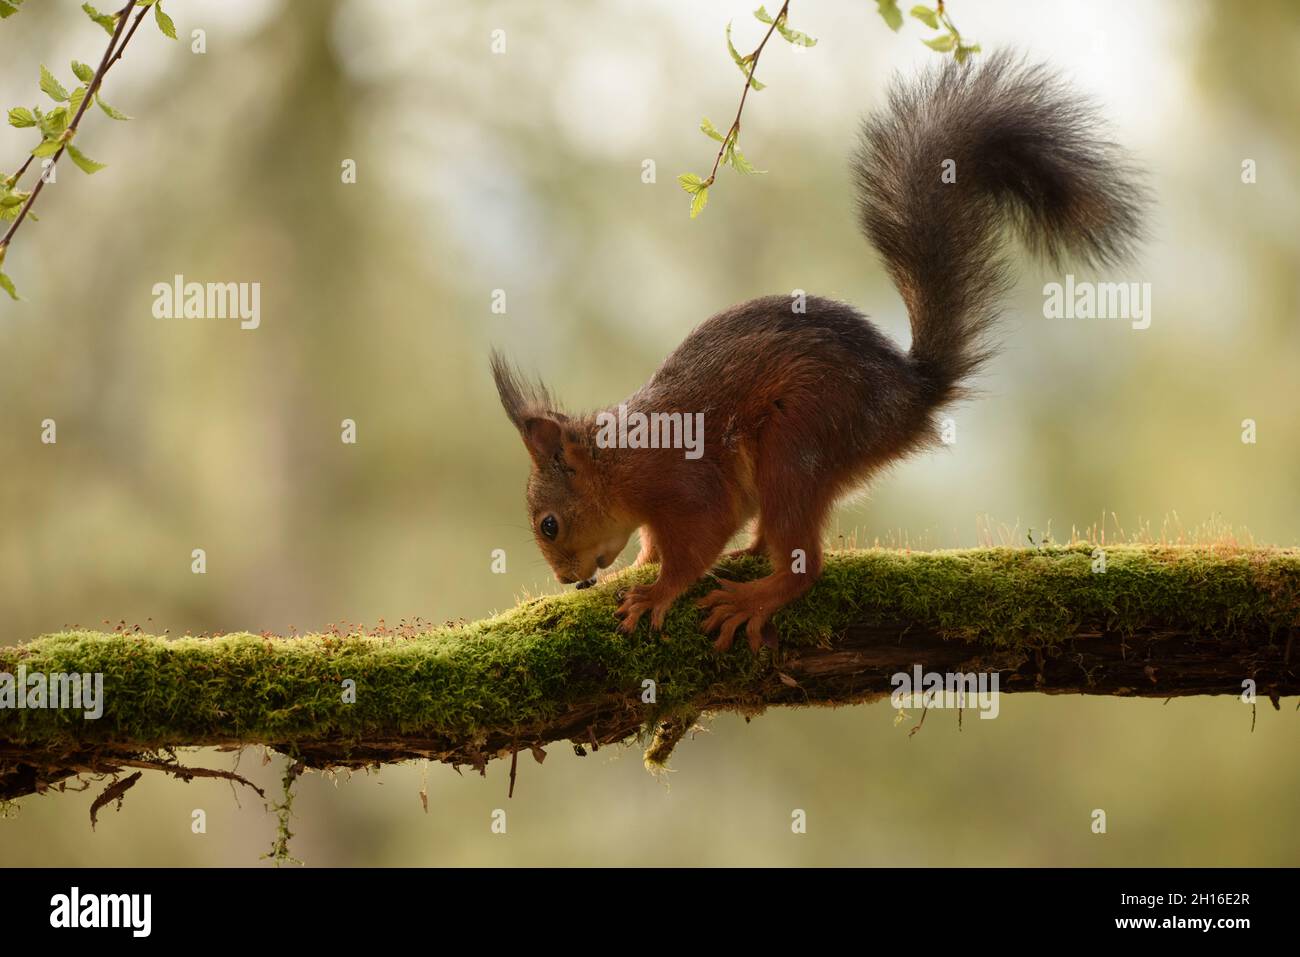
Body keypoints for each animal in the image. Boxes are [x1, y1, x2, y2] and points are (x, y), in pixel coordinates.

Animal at [491, 51, 1146, 653]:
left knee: (806, 565)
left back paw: (755, 597)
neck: (618, 462)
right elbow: (660, 542)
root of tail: (909, 399)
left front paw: (656, 591)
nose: (568, 580)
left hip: (801, 436)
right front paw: (642, 563)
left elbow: (699, 540)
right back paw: (755, 557)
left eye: (549, 524)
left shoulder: (682, 481)